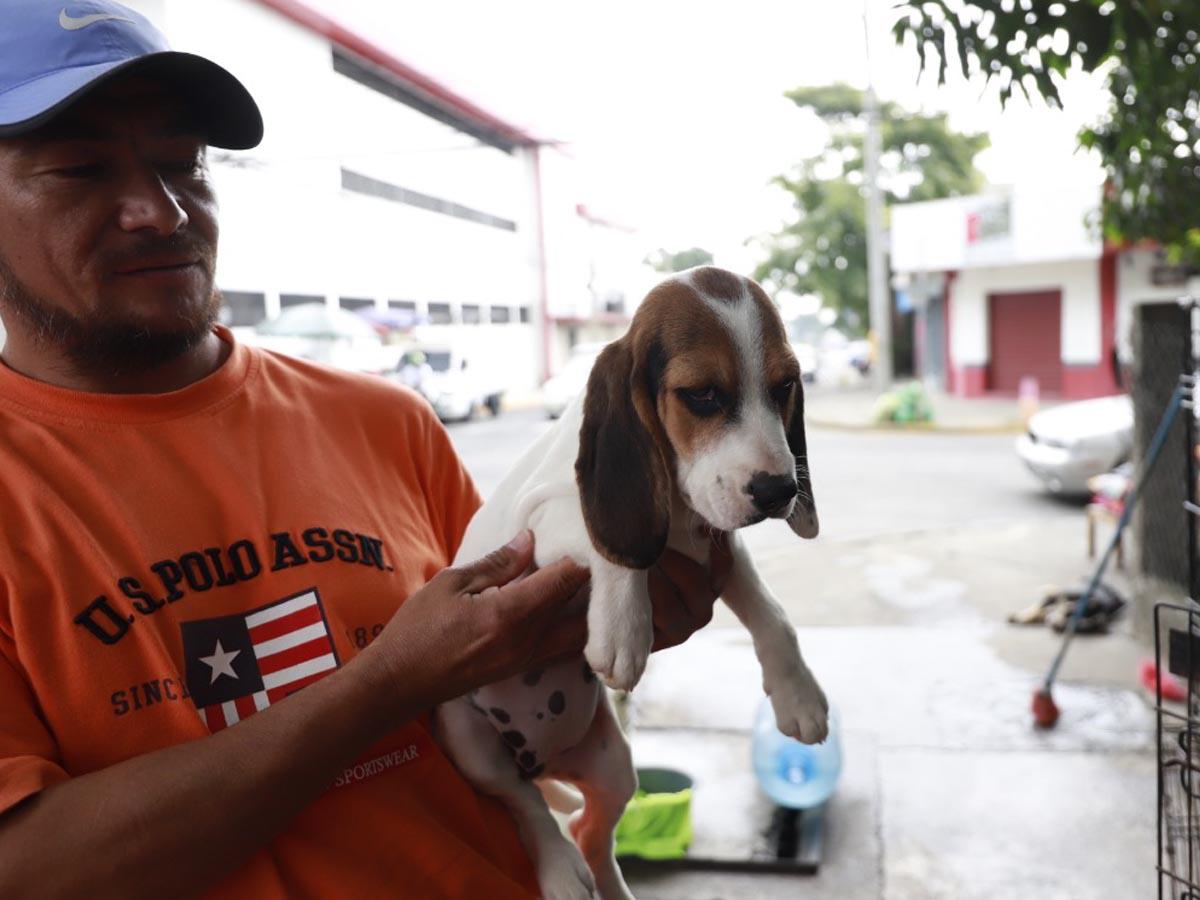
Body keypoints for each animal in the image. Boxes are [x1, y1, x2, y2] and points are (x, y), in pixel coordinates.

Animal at [436, 267, 830, 900]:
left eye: (785, 386)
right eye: (703, 395)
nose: (778, 492)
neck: (680, 504)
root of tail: (542, 762)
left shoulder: (720, 548)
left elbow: (773, 615)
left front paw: (798, 695)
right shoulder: (541, 528)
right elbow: (615, 545)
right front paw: (625, 629)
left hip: (614, 762)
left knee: (591, 829)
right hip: (469, 742)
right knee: (527, 807)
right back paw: (559, 868)